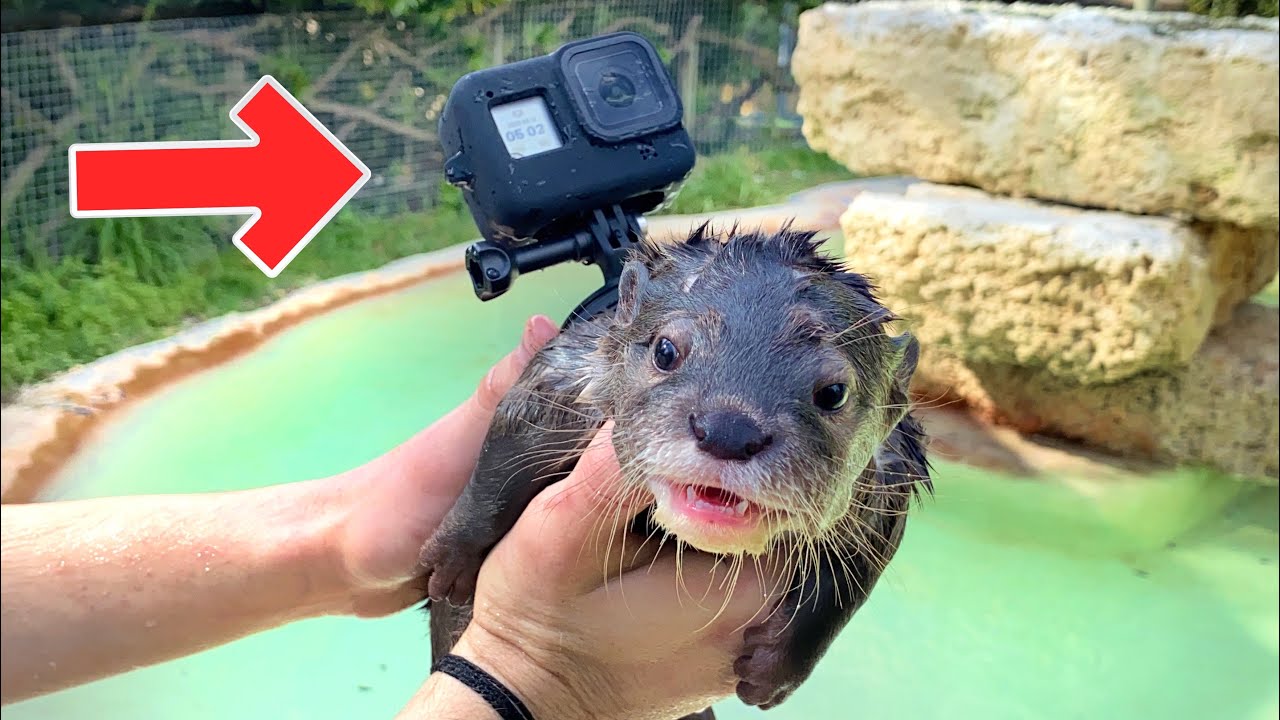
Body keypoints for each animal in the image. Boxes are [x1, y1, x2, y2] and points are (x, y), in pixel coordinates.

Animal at [416, 223, 932, 717]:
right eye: (666, 351)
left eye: (833, 393)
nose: (728, 430)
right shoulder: (566, 376)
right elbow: (503, 452)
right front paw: (452, 559)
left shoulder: (891, 477)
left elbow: (851, 578)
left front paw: (776, 670)